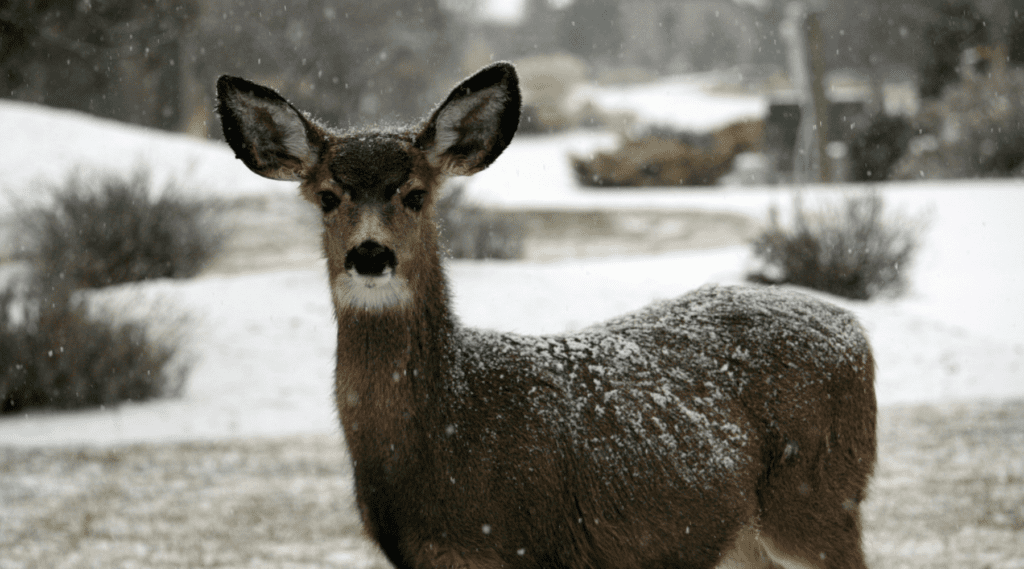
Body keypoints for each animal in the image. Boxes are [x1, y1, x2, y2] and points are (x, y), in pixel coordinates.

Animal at [216, 62, 877, 569]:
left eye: (416, 195)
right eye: (328, 197)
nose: (371, 255)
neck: (449, 425)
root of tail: (852, 329)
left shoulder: (538, 547)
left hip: (820, 499)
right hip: (740, 534)